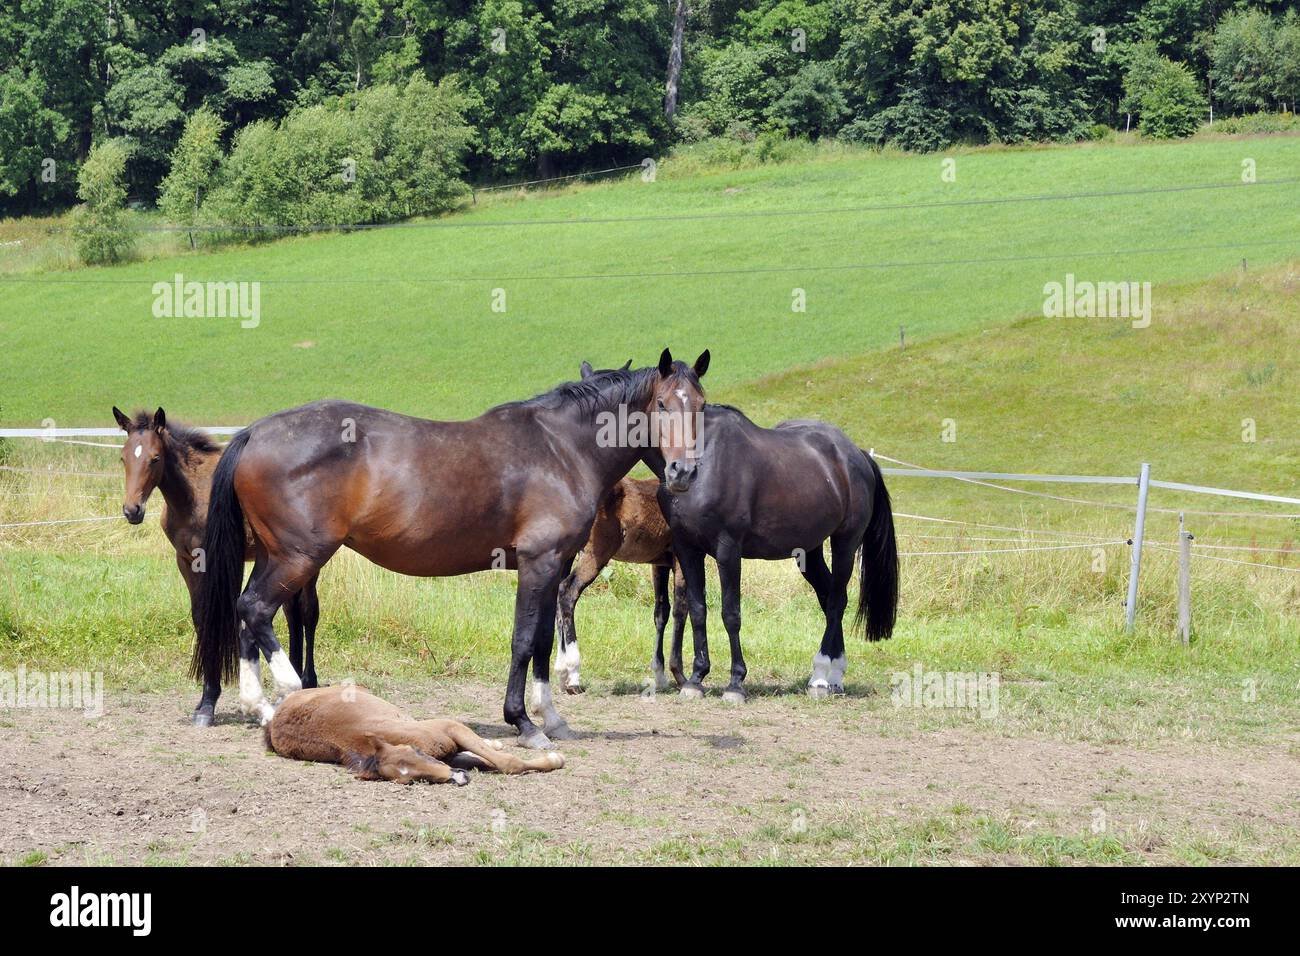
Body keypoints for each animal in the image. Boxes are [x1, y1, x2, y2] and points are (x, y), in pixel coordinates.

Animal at [112, 407, 322, 716]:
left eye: (155, 458)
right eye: (124, 458)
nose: (132, 510)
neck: (193, 494)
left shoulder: (213, 560)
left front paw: (210, 699)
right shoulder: (186, 561)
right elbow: (200, 617)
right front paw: (204, 701)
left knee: (307, 613)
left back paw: (308, 681)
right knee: (291, 613)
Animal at [192, 348, 710, 748]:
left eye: (702, 406)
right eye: (661, 403)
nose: (683, 473)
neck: (561, 450)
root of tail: (254, 432)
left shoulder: (555, 565)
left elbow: (544, 641)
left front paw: (552, 718)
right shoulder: (539, 564)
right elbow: (525, 640)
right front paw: (523, 722)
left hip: (274, 556)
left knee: (246, 614)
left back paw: (260, 707)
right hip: (298, 556)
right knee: (255, 609)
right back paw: (291, 692)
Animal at [264, 685, 564, 784]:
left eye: (417, 752)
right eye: (412, 780)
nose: (458, 779)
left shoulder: (450, 727)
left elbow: (507, 763)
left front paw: (555, 759)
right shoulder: (451, 751)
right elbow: (487, 762)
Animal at [657, 403, 898, 702]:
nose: (679, 473)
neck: (706, 461)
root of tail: (857, 455)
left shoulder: (728, 551)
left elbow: (731, 614)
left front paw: (735, 683)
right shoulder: (687, 550)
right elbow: (698, 610)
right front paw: (695, 679)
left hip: (846, 542)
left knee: (836, 601)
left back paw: (820, 678)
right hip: (809, 551)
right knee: (828, 597)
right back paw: (835, 676)